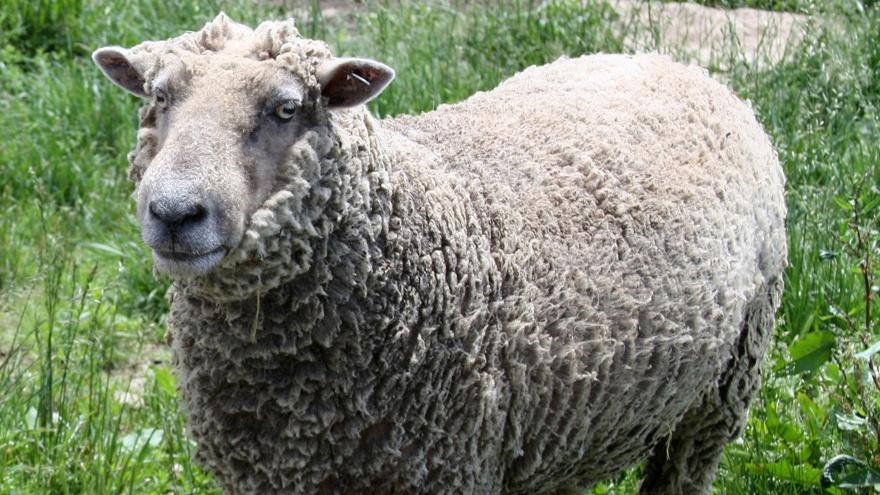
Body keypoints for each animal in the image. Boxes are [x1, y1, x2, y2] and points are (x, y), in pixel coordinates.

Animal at [92, 12, 787, 495]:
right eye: (158, 97)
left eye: (287, 107)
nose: (175, 213)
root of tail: (680, 66)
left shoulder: (447, 465)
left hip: (725, 387)